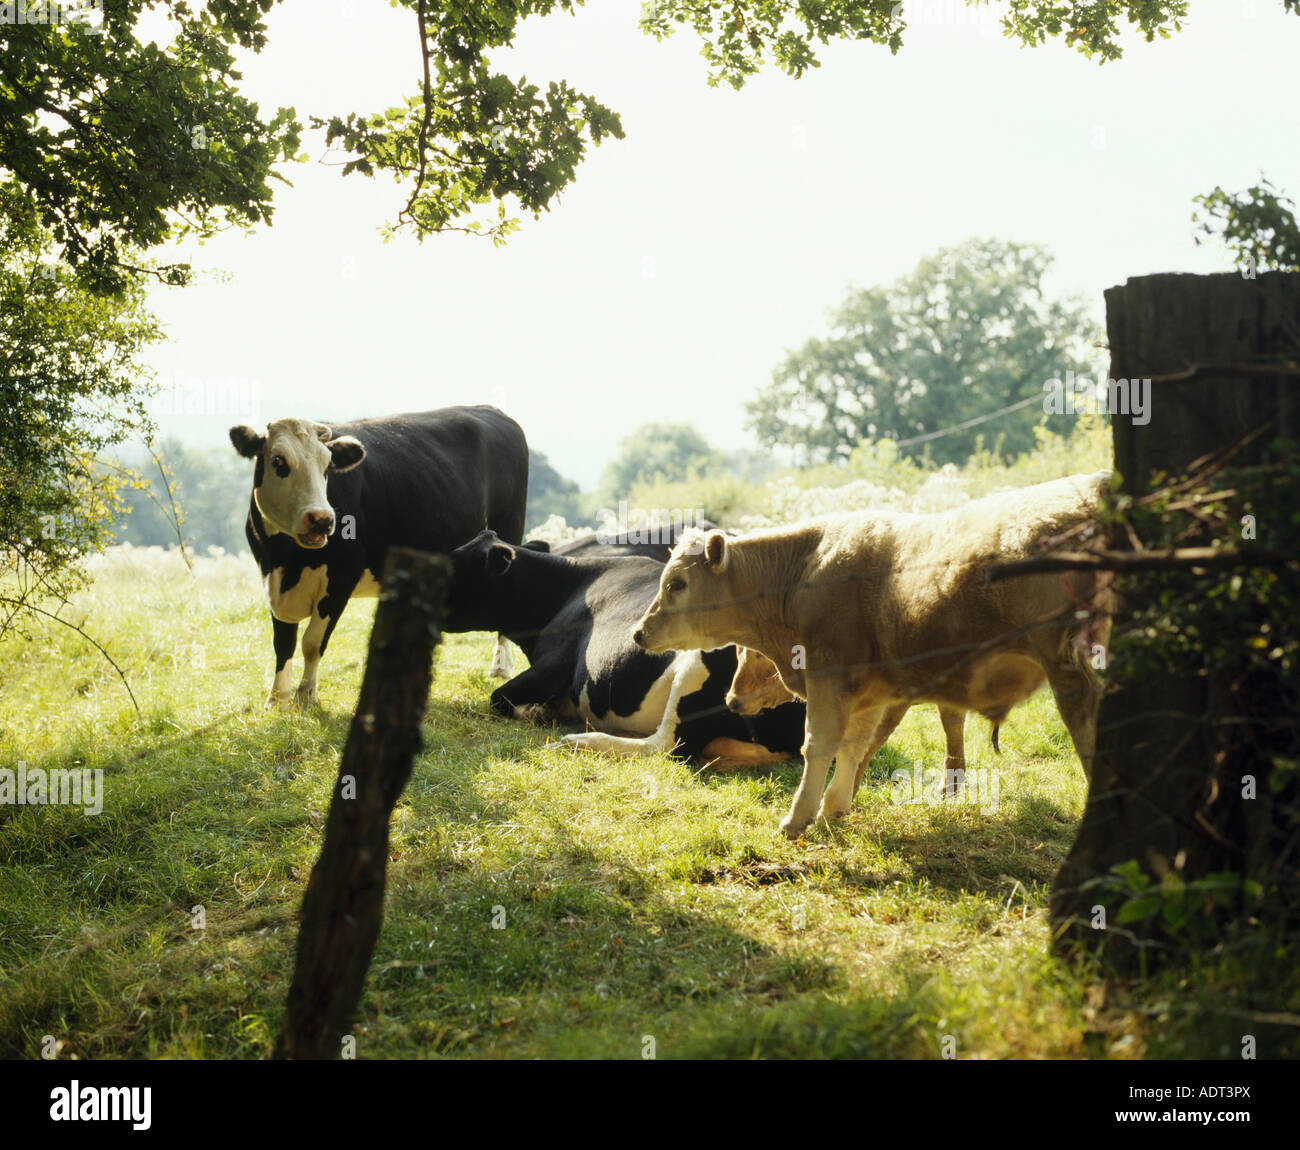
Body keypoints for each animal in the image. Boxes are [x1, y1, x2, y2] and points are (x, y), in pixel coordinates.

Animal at [230, 407, 528, 706]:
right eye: (278, 461)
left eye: (327, 466)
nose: (322, 519)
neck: (288, 560)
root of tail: (489, 410)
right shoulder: (272, 578)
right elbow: (283, 643)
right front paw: (277, 700)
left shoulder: (342, 576)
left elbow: (312, 642)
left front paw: (306, 696)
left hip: (509, 529)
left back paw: (500, 666)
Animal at [443, 530, 806, 765]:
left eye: (458, 568)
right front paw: (541, 710)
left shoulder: (553, 666)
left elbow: (497, 697)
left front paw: (534, 712)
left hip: (698, 666)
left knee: (665, 746)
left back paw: (578, 742)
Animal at [632, 472, 1113, 837]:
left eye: (677, 584)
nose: (639, 633)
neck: (803, 572)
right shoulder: (869, 693)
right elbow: (854, 747)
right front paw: (833, 810)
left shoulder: (829, 678)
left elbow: (820, 746)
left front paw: (797, 819)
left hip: (1072, 670)